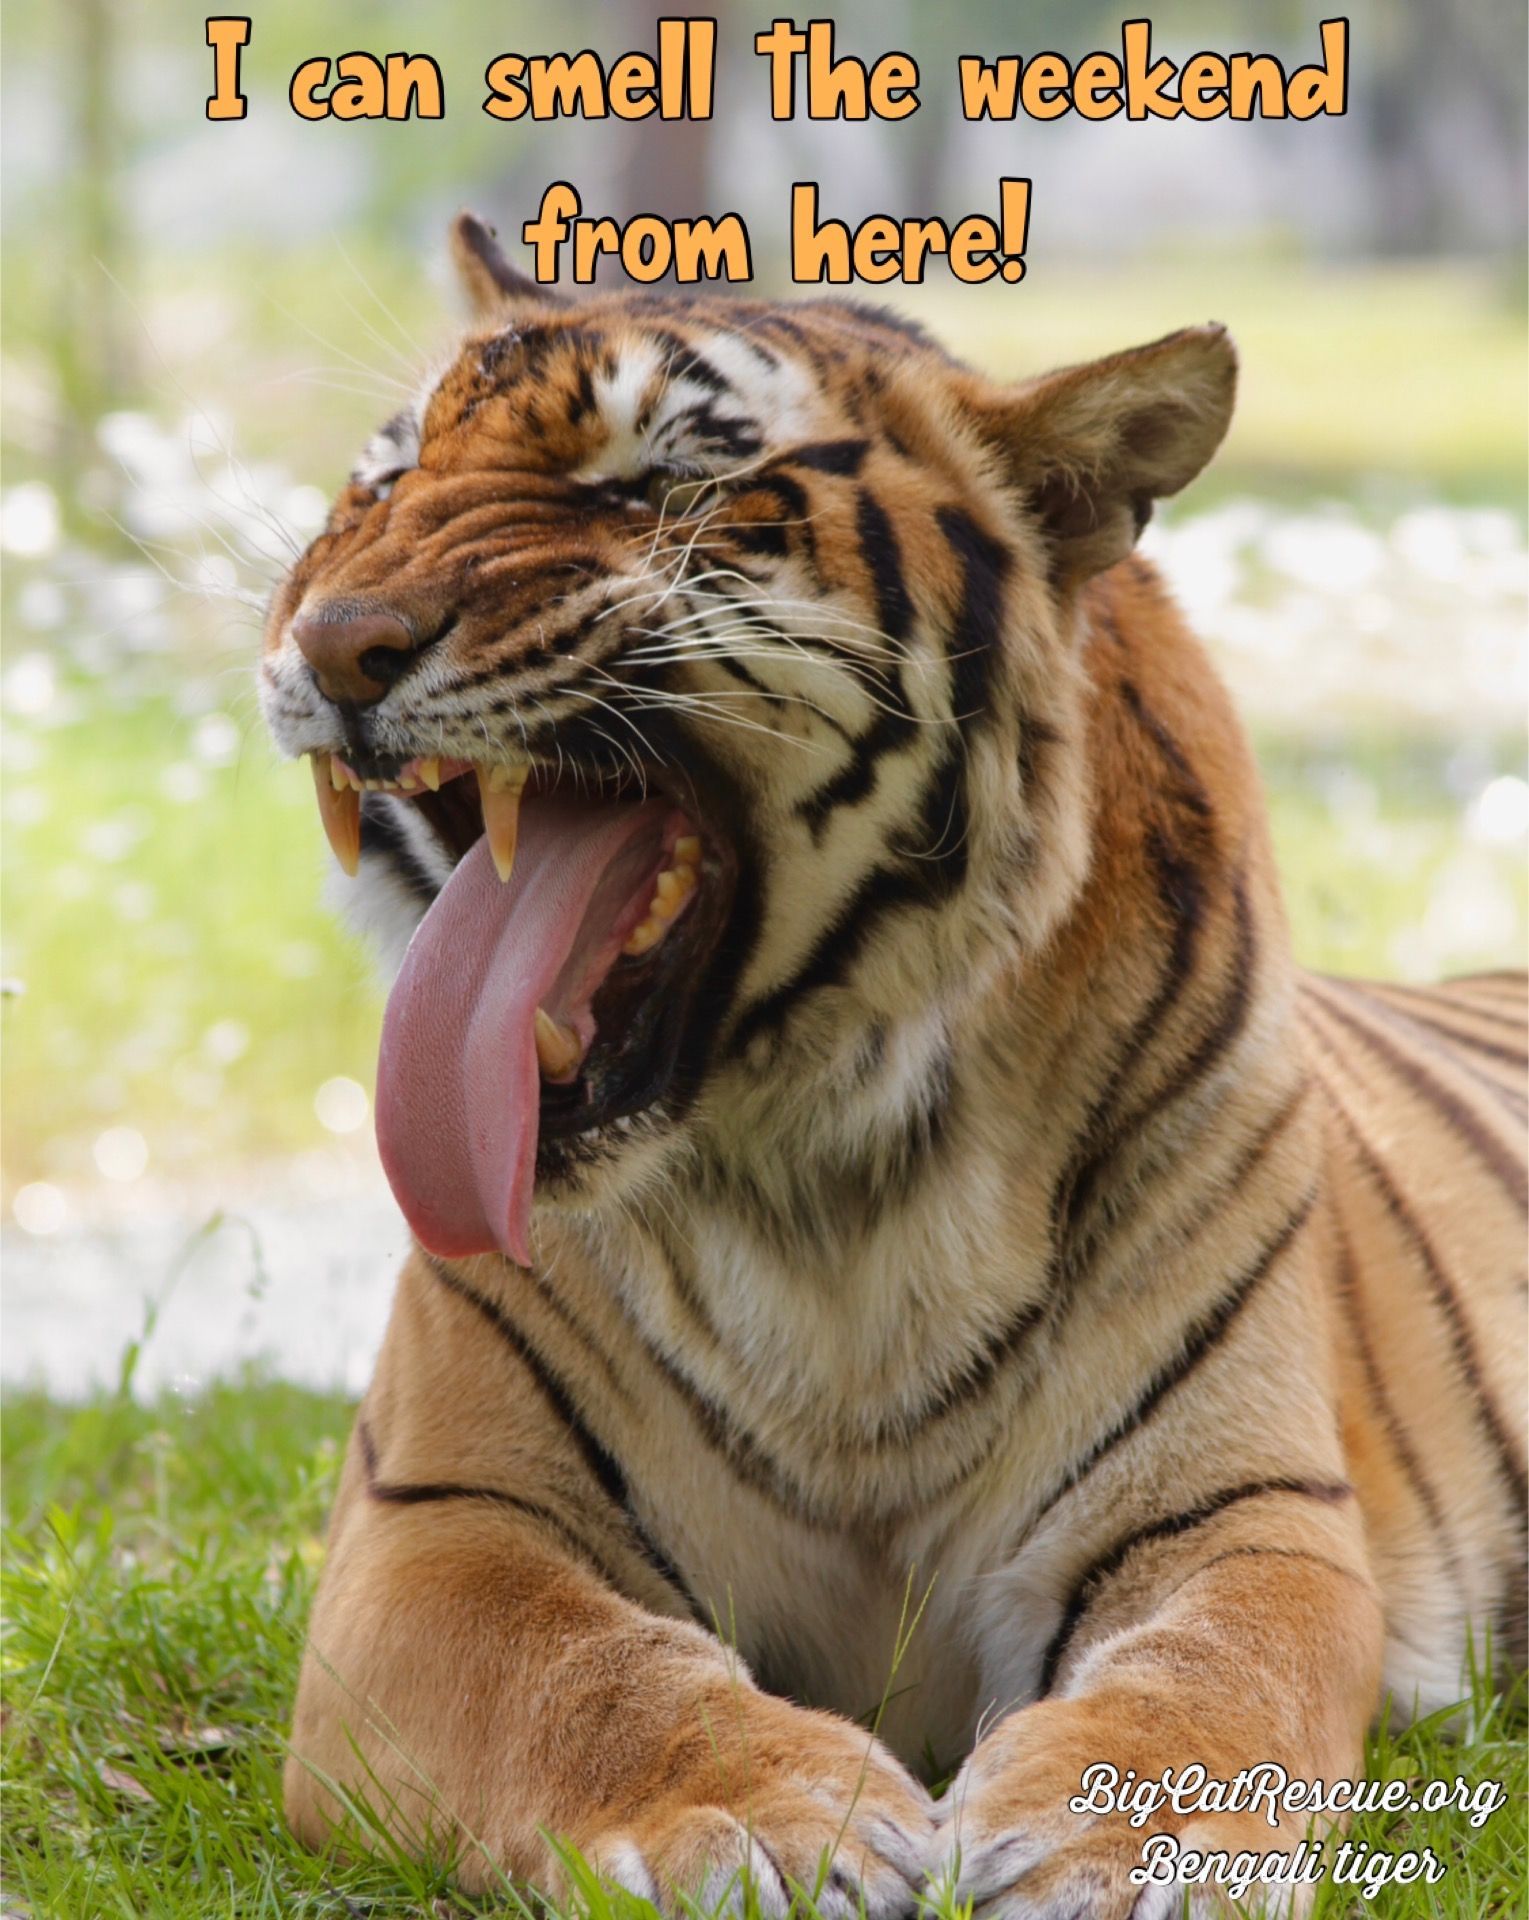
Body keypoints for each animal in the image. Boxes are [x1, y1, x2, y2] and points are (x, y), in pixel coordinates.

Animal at [257, 212, 1527, 1917]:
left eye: (659, 483)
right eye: (383, 481)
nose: (330, 645)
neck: (824, 1184)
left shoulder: (1234, 1511)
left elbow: (1209, 1678)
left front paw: (1119, 1845)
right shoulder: (443, 1524)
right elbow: (576, 1671)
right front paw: (769, 1813)